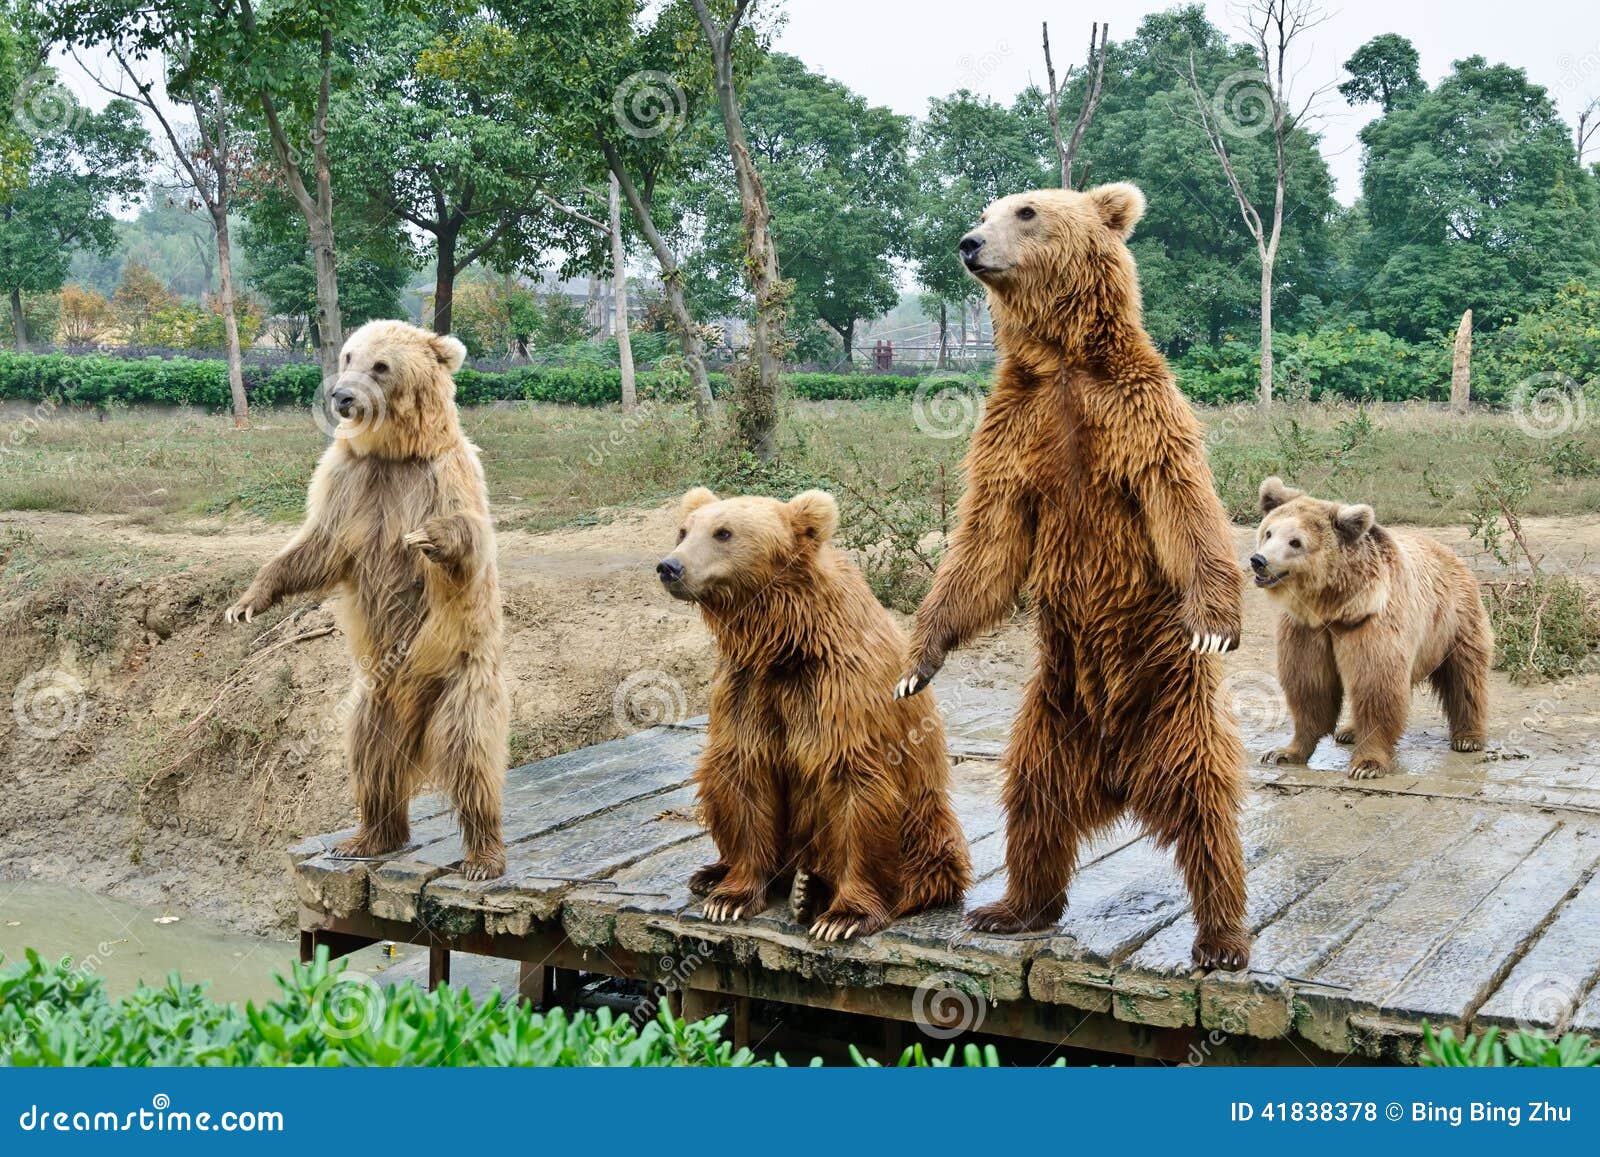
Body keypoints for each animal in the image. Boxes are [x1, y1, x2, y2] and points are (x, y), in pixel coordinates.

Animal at [225, 319, 508, 880]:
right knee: (371, 757)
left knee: (470, 756)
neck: (395, 454)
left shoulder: (444, 474)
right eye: (349, 356)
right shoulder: (351, 479)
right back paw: (367, 836)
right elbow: (316, 547)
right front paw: (246, 602)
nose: (342, 396)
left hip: (462, 675)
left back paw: (483, 855)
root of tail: (417, 719)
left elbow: (465, 538)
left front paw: (429, 538)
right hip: (375, 698)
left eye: (381, 365)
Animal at [657, 487, 971, 941]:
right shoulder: (748, 688)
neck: (780, 642)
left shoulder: (840, 688)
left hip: (928, 825)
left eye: (723, 532)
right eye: (684, 530)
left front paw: (843, 916)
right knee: (713, 779)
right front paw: (730, 898)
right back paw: (716, 873)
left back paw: (812, 889)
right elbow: (745, 772)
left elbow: (855, 786)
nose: (670, 566)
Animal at [895, 184, 1250, 969]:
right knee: (1033, 799)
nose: (969, 242)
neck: (1062, 359)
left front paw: (1217, 621)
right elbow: (987, 543)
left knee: (1205, 805)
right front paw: (916, 662)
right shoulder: (1015, 429)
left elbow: (1182, 505)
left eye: (1025, 211)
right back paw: (1010, 907)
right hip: (1053, 714)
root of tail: (1118, 776)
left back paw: (1220, 937)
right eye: (988, 210)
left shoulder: (1135, 412)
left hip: (1171, 700)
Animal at [1252, 477, 1492, 779]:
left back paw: (1467, 737)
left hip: (1455, 620)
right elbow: (1309, 686)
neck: (1332, 606)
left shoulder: (1372, 622)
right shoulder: (1306, 630)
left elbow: (1375, 684)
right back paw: (1349, 731)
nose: (1259, 561)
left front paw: (1366, 765)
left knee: (1465, 674)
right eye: (1269, 532)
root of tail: (1448, 552)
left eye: (1295, 542)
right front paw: (1284, 752)